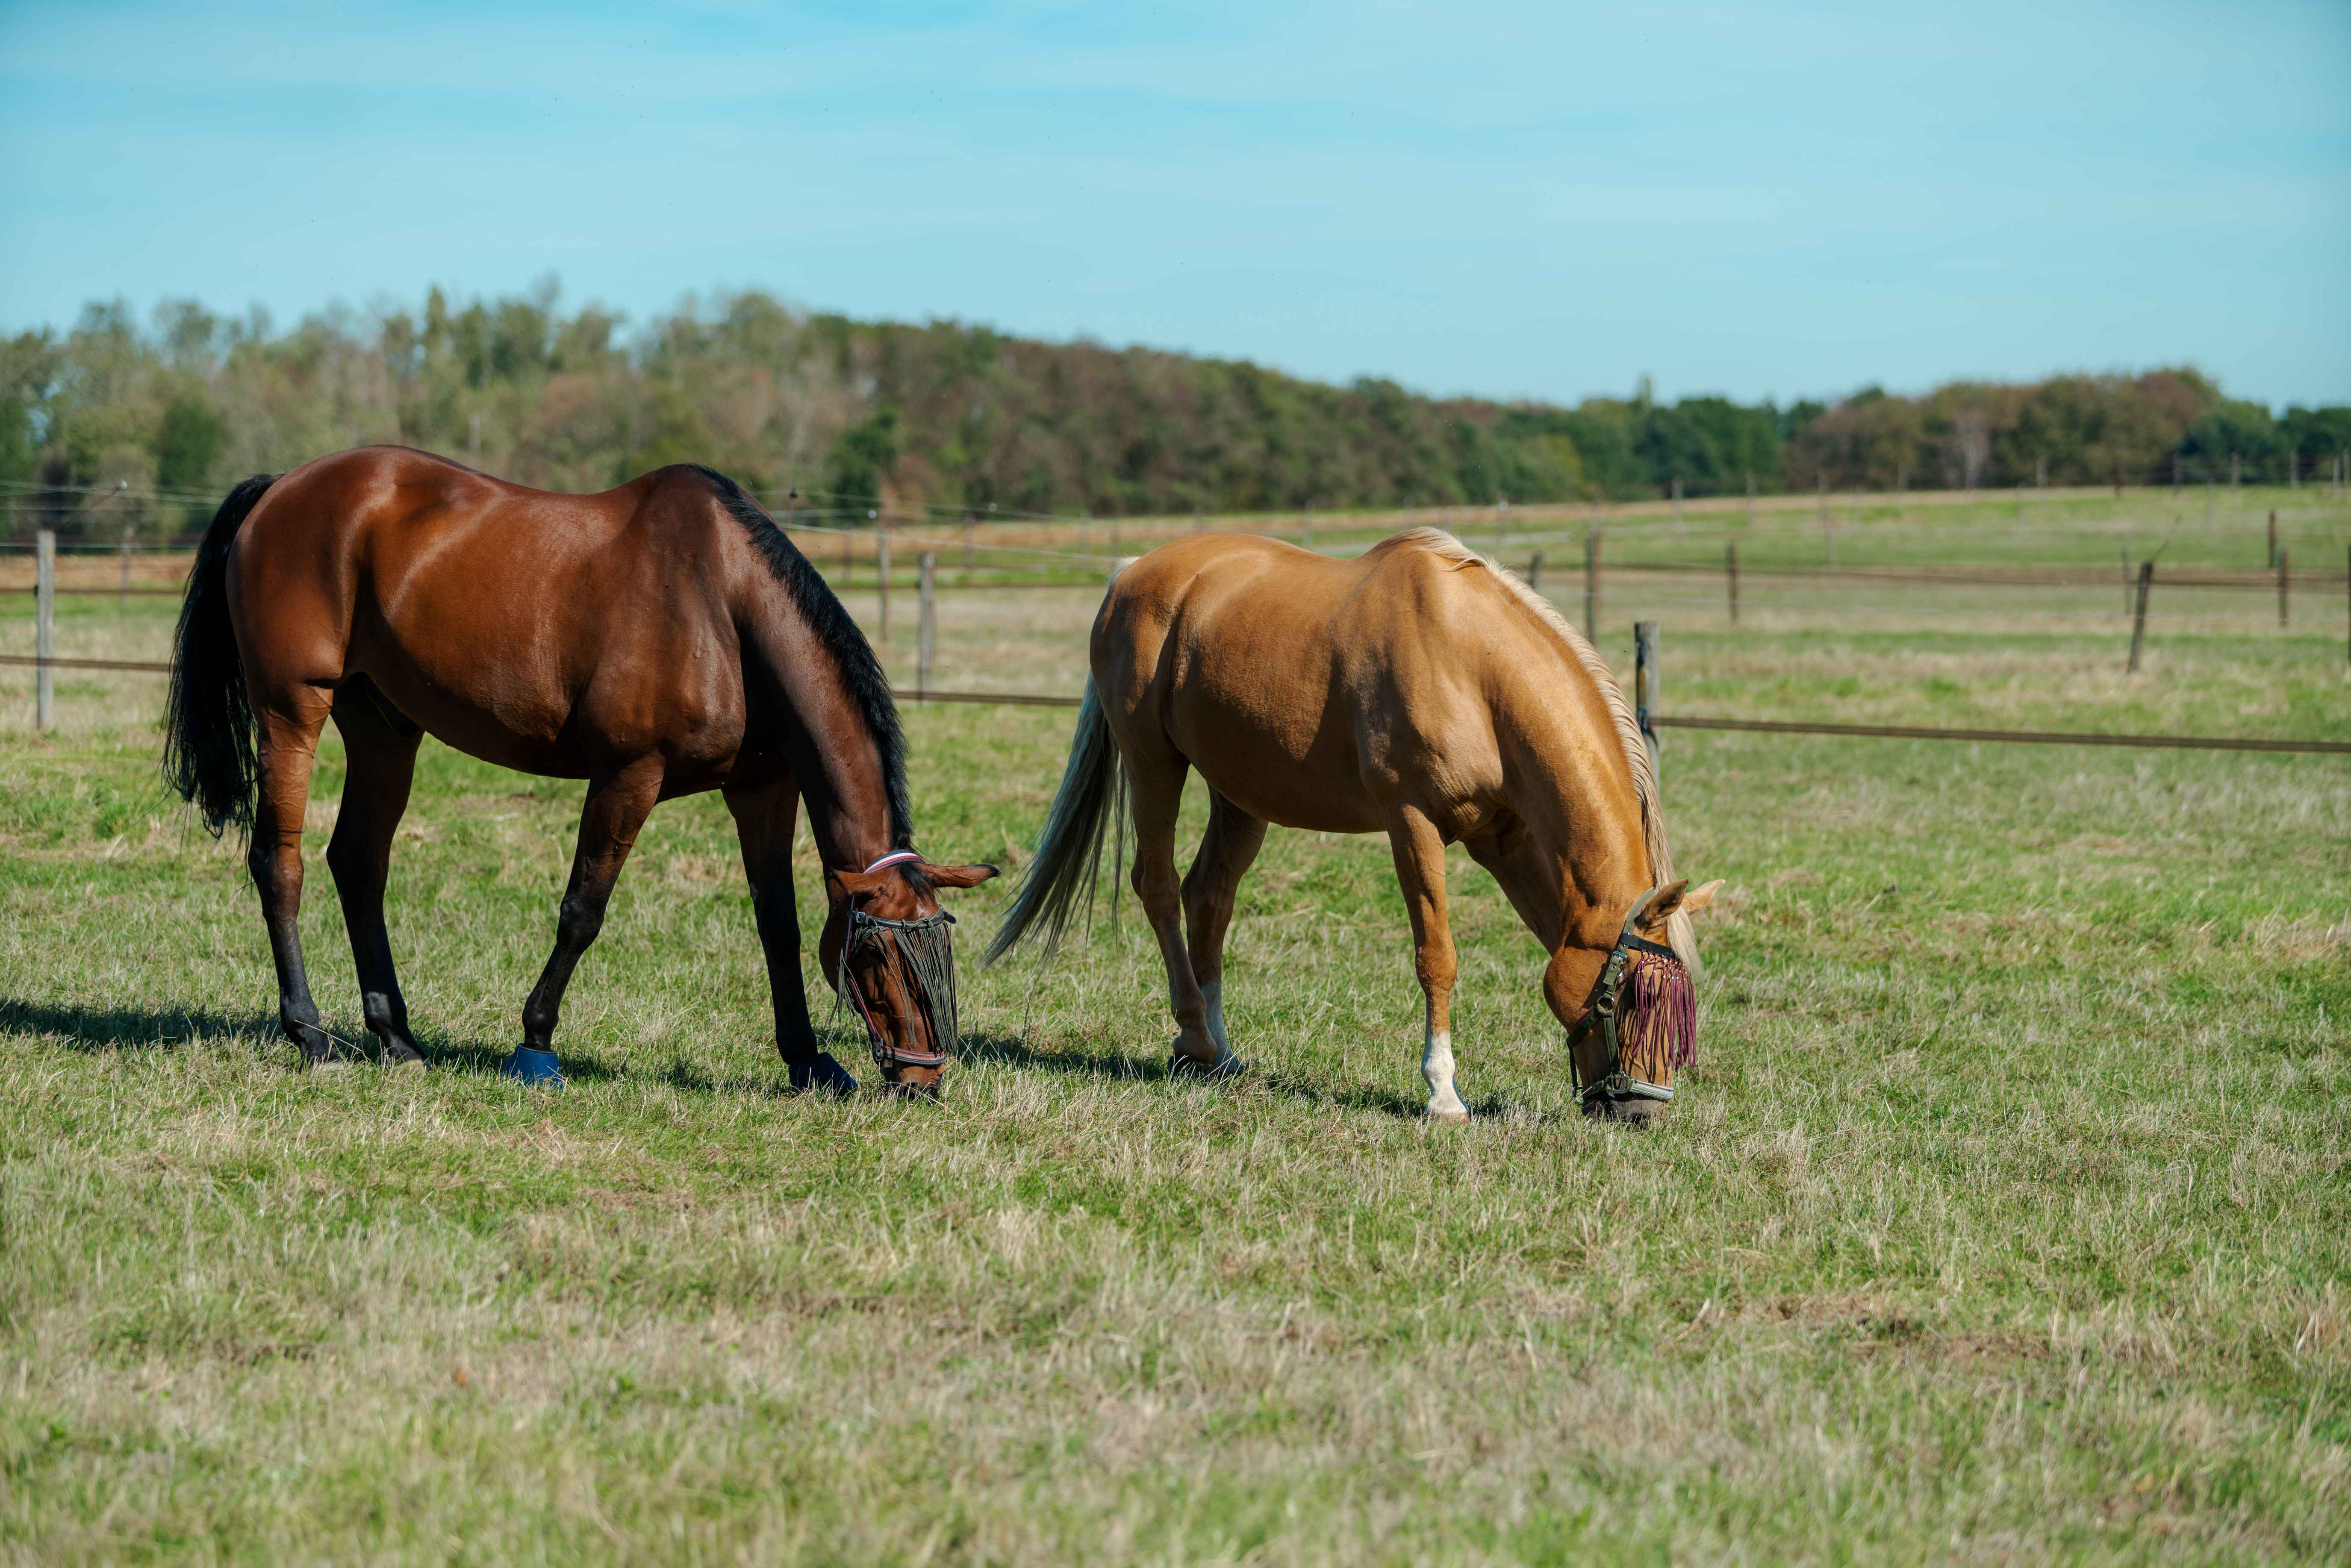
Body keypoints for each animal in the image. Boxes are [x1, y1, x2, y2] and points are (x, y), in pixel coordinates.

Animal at [163, 446, 996, 1095]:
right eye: (876, 954)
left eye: (942, 953)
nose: (921, 1079)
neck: (724, 609)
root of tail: (280, 487)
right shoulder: (630, 774)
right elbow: (582, 911)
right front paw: (536, 1045)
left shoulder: (761, 789)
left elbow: (778, 925)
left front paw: (807, 1059)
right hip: (291, 709)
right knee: (281, 861)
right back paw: (310, 1034)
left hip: (384, 727)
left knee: (359, 861)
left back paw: (397, 1036)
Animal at [986, 528, 1720, 1121]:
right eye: (1628, 998)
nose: (1643, 1111)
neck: (1472, 665)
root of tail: (1131, 573)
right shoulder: (1413, 824)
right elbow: (1437, 956)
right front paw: (1443, 1093)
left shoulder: (1503, 838)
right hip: (1153, 763)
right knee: (1160, 887)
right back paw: (1194, 1034)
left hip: (1240, 792)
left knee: (1209, 896)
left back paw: (1219, 1053)